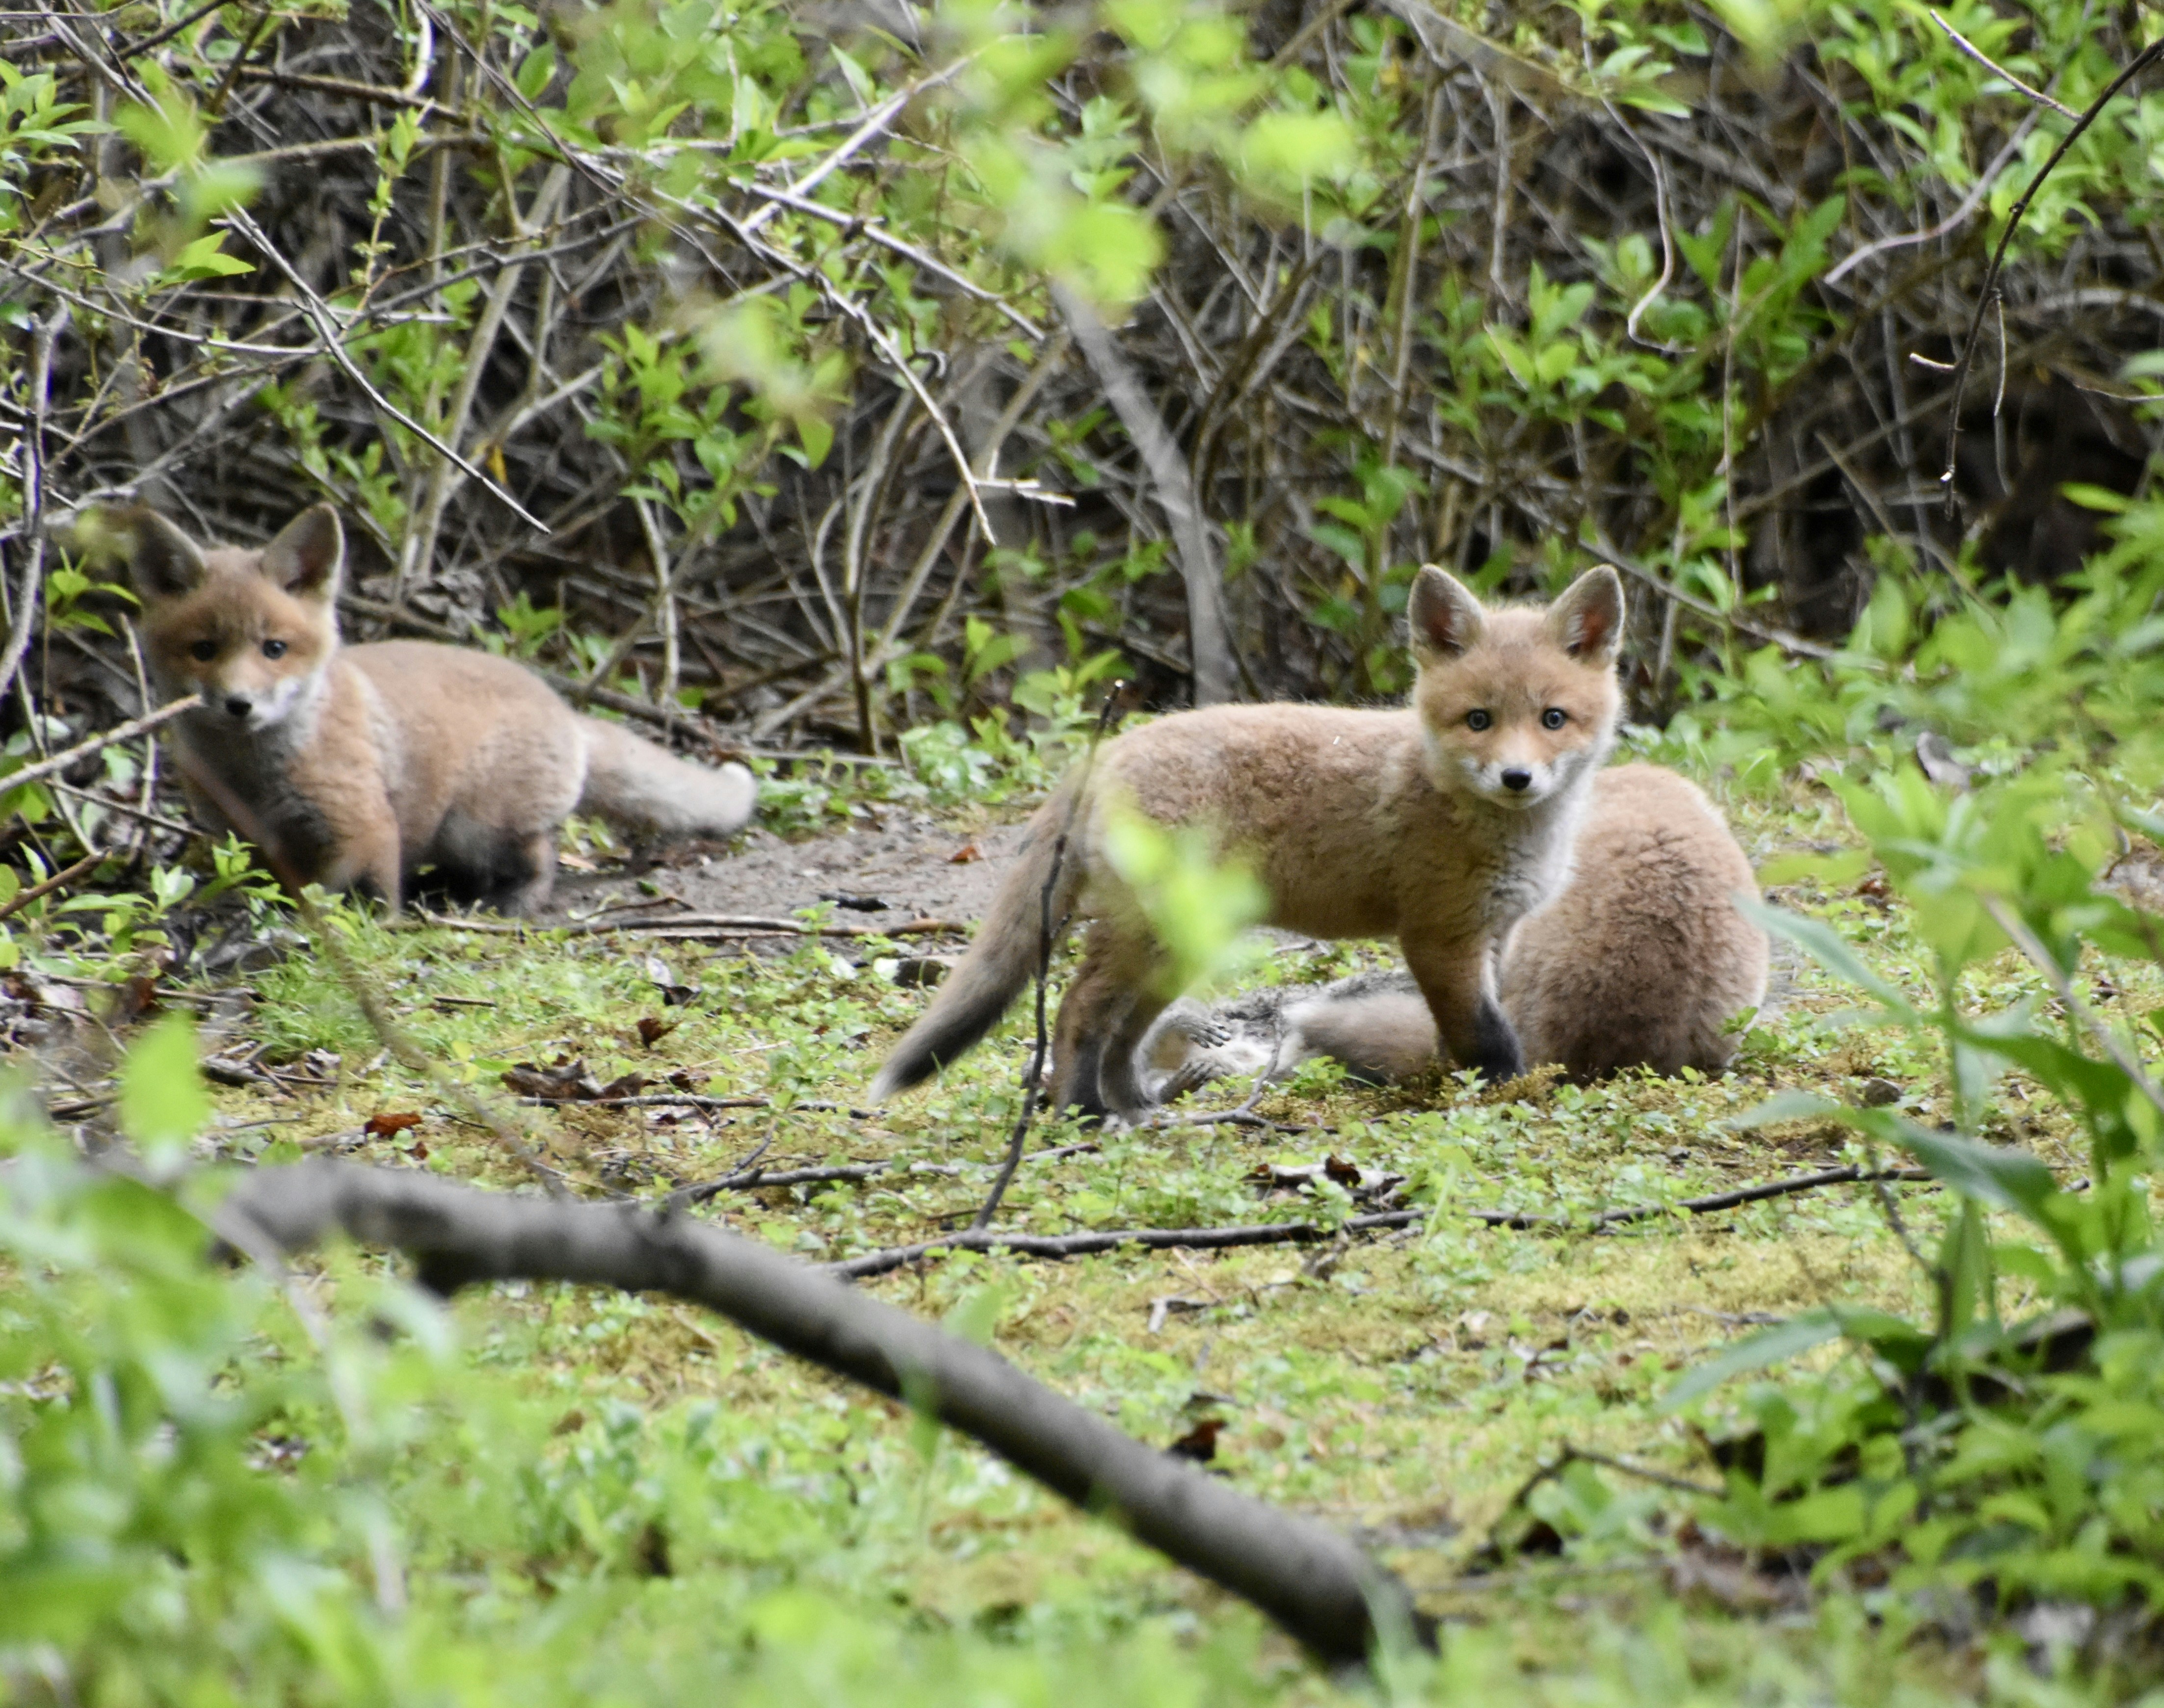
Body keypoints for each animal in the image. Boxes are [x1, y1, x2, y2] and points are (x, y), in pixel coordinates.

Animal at [104, 502, 757, 913]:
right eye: (205, 650)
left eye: (274, 649)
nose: (239, 704)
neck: (253, 771)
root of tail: (567, 713)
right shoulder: (242, 838)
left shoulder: (363, 825)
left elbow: (364, 898)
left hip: (478, 826)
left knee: (542, 859)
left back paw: (510, 903)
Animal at [868, 563, 1627, 1121]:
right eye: (1478, 720)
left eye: (1552, 719)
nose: (1517, 777)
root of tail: (1114, 747)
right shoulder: (1440, 936)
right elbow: (1486, 1034)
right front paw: (1504, 1092)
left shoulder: (1494, 934)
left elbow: (1468, 1028)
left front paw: (1451, 1084)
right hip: (1144, 936)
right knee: (1076, 1010)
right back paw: (1083, 1111)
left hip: (1177, 946)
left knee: (1126, 1031)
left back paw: (1138, 1105)